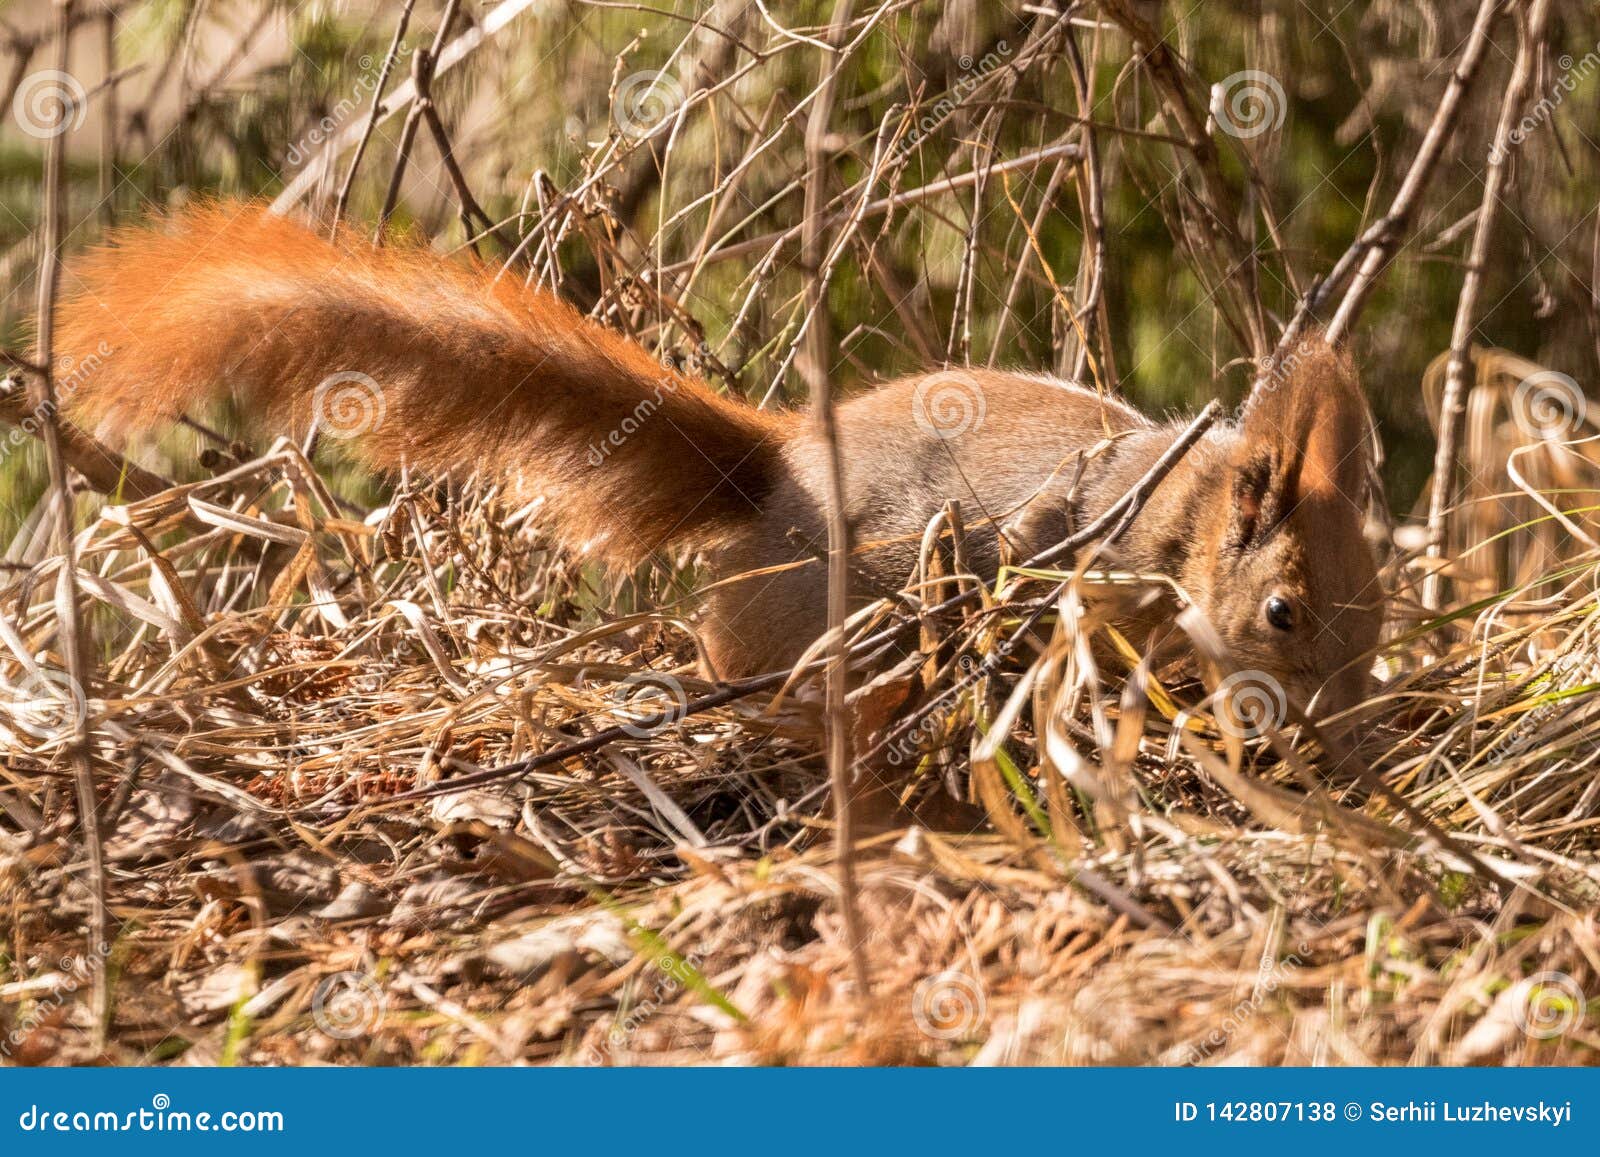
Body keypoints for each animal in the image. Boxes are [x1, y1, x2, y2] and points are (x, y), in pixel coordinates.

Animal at [52, 202, 1382, 719]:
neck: (1186, 519)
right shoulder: (1087, 554)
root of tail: (776, 463)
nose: (1341, 727)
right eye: (1281, 609)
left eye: (1379, 608)